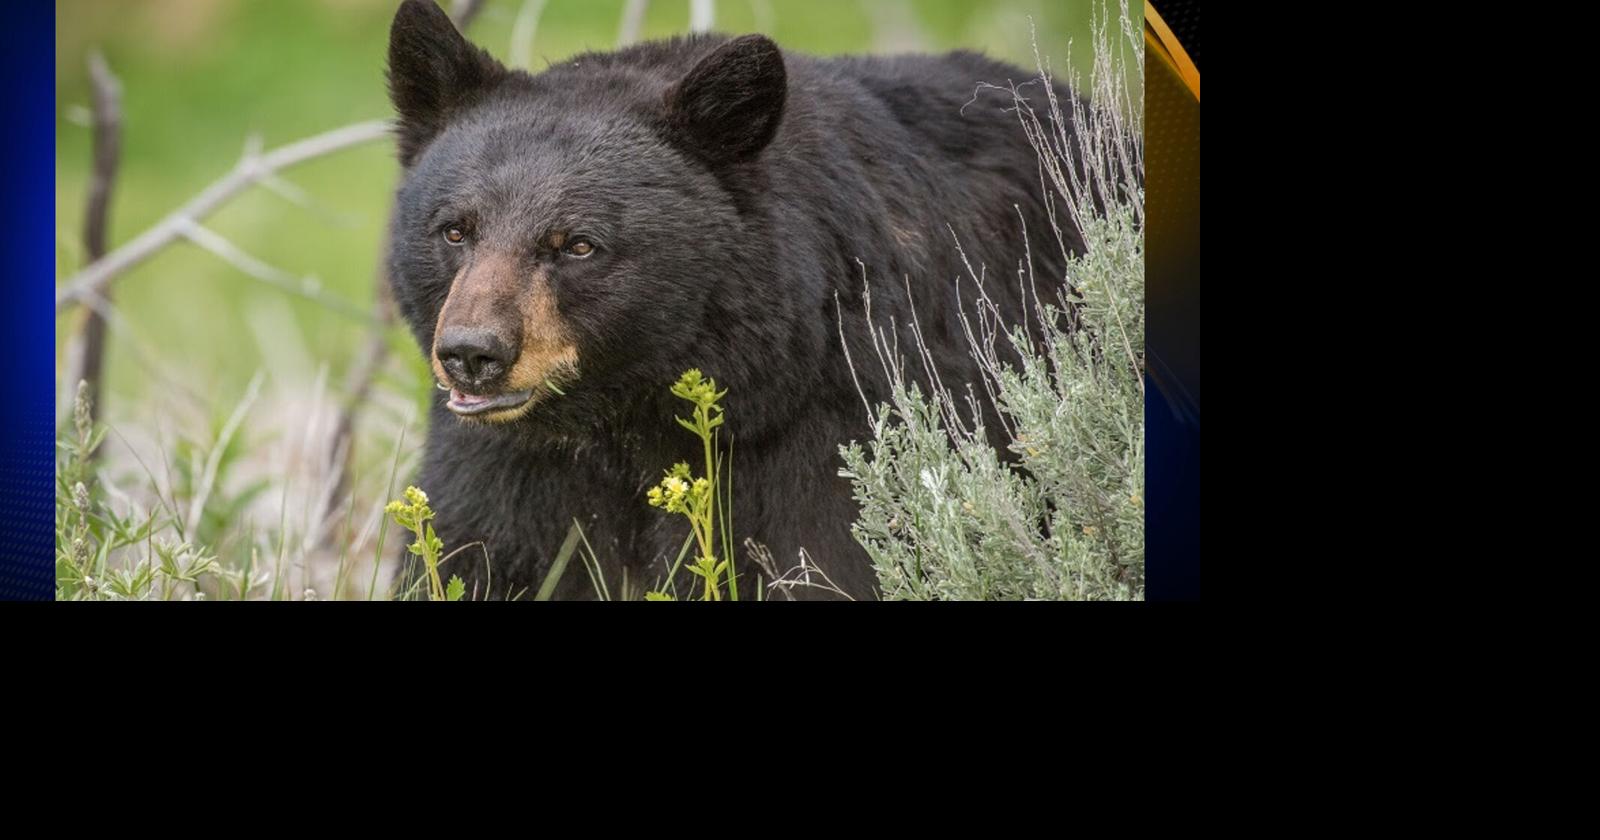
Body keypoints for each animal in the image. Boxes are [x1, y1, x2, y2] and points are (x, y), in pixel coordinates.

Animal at [383, 0, 1082, 600]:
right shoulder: (507, 470)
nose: (473, 354)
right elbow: (479, 554)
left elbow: (827, 556)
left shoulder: (838, 426)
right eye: (455, 230)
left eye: (577, 244)